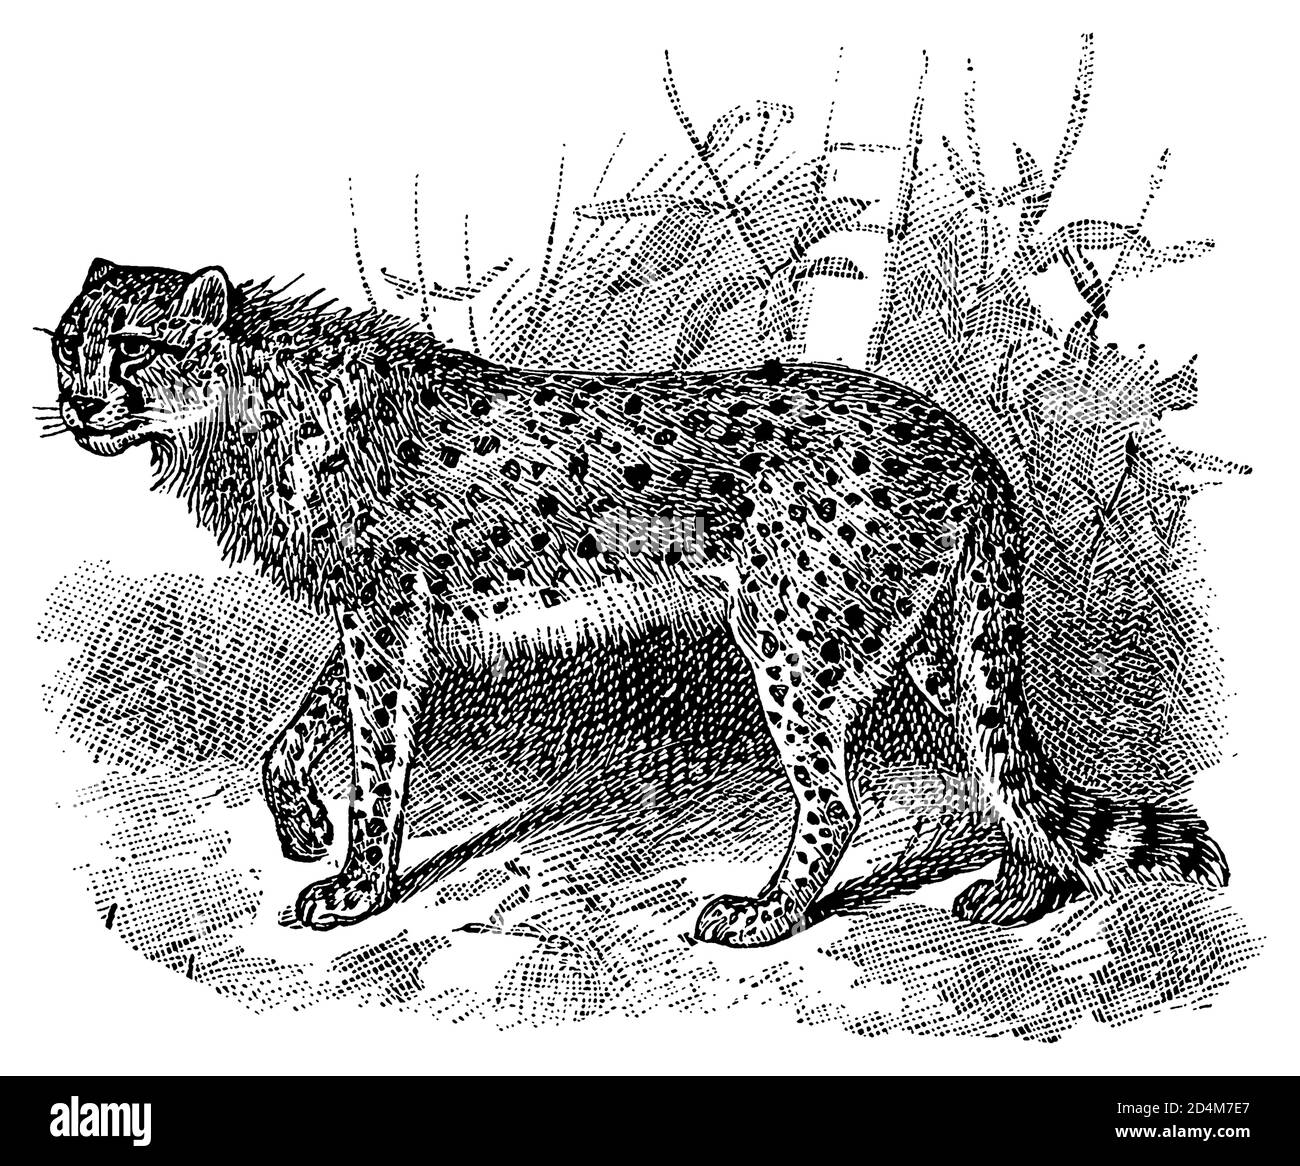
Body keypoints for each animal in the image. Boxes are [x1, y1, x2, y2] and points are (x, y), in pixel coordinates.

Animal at [49, 258, 1228, 947]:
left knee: (839, 798)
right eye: (68, 342)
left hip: (788, 632)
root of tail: (962, 434)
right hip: (940, 643)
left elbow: (376, 764)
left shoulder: (383, 616)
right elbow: (293, 733)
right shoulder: (376, 616)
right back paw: (1020, 887)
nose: (77, 403)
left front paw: (356, 884)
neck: (243, 401)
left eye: (136, 346)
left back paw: (767, 912)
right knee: (1001, 762)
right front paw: (301, 822)